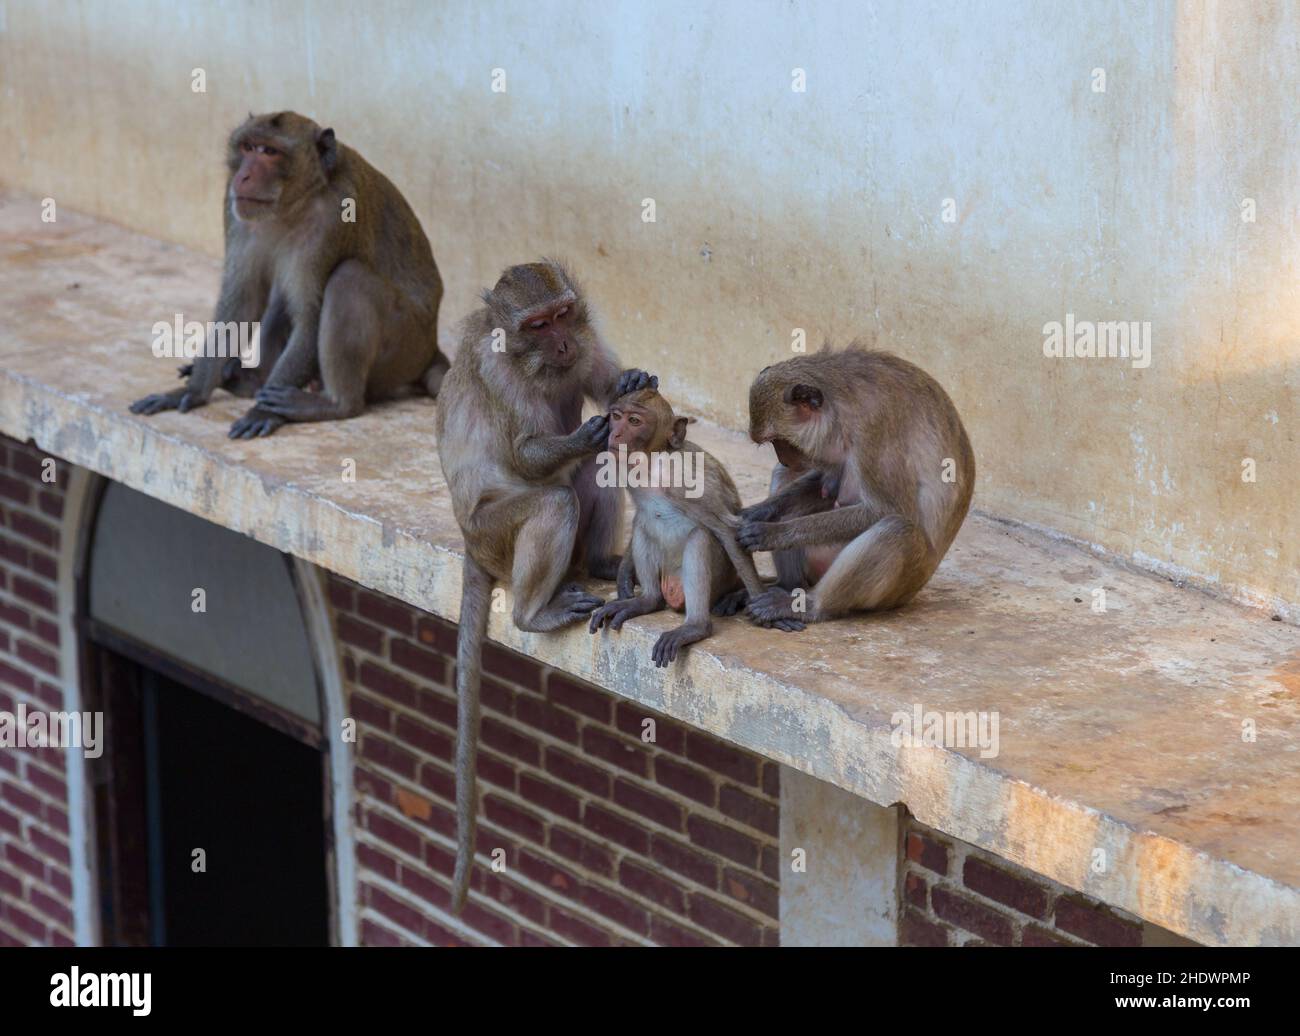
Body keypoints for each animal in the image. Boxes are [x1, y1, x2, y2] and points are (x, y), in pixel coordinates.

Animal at [130, 111, 448, 438]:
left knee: (349, 278)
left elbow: (310, 318)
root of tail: (430, 348)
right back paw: (248, 381)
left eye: (270, 152)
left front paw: (261, 410)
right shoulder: (233, 207)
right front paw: (192, 391)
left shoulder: (334, 218)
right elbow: (241, 301)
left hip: (405, 346)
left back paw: (337, 404)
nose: (243, 177)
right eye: (248, 147)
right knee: (284, 296)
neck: (294, 203)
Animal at [435, 258, 654, 912]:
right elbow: (529, 454)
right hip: (494, 535)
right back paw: (535, 613)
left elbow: (606, 385)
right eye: (535, 325)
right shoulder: (500, 372)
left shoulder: (585, 340)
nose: (560, 344)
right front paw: (587, 431)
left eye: (562, 315)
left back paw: (600, 565)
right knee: (554, 499)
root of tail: (469, 541)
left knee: (597, 470)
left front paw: (627, 382)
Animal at [587, 387, 801, 667]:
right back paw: (648, 601)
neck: (652, 462)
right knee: (644, 525)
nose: (616, 434)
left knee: (700, 537)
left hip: (716, 581)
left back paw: (696, 626)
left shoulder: (684, 477)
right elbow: (640, 518)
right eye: (616, 416)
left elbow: (726, 529)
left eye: (634, 421)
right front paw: (624, 573)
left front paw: (768, 610)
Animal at [736, 346, 974, 625]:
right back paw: (788, 585)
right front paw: (758, 511)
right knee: (784, 478)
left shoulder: (875, 428)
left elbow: (888, 510)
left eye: (780, 441)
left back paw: (809, 606)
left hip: (900, 587)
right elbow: (824, 486)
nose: (784, 459)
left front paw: (772, 532)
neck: (843, 403)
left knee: (898, 530)